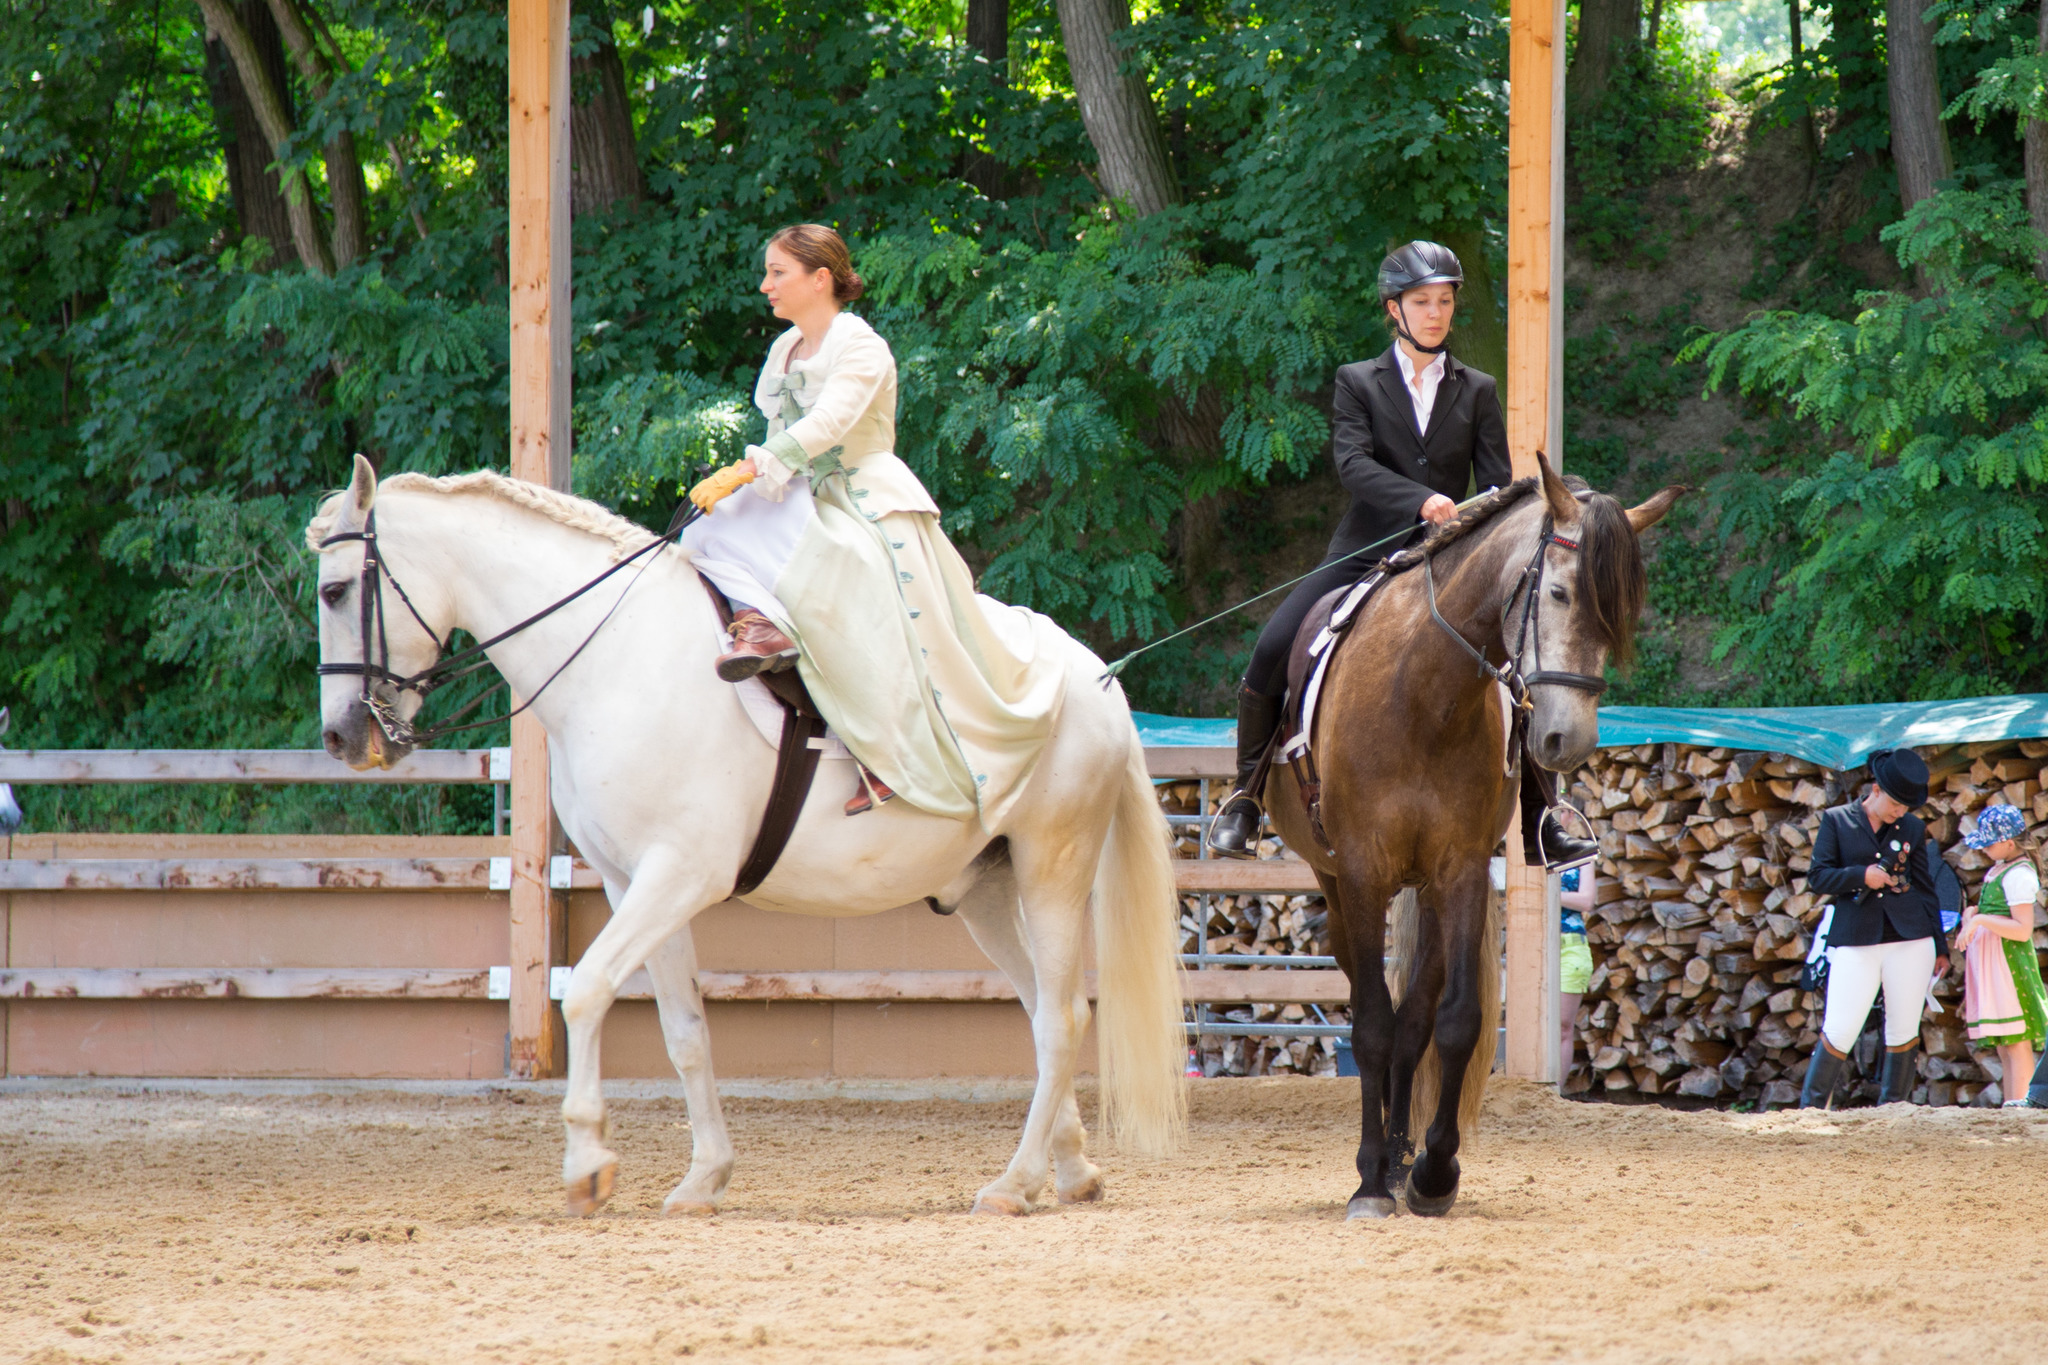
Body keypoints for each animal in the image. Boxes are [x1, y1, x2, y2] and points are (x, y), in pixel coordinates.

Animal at [306, 456, 1185, 1217]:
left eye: (337, 588)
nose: (343, 736)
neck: (613, 656)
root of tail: (1097, 677)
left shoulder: (678, 874)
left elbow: (586, 988)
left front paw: (588, 1163)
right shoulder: (633, 881)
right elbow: (684, 1030)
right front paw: (704, 1177)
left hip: (1053, 870)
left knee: (1062, 1020)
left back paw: (1015, 1181)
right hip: (989, 892)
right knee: (1044, 1012)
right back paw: (1067, 1169)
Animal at [1267, 456, 1680, 1218]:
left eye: (1618, 618)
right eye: (1558, 592)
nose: (1569, 739)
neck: (1424, 694)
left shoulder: (1458, 869)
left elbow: (1453, 1023)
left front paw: (1432, 1171)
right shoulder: (1363, 874)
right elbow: (1368, 1024)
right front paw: (1369, 1181)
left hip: (1428, 889)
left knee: (1414, 1020)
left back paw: (1403, 1155)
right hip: (1335, 887)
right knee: (1375, 1007)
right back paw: (1382, 1161)